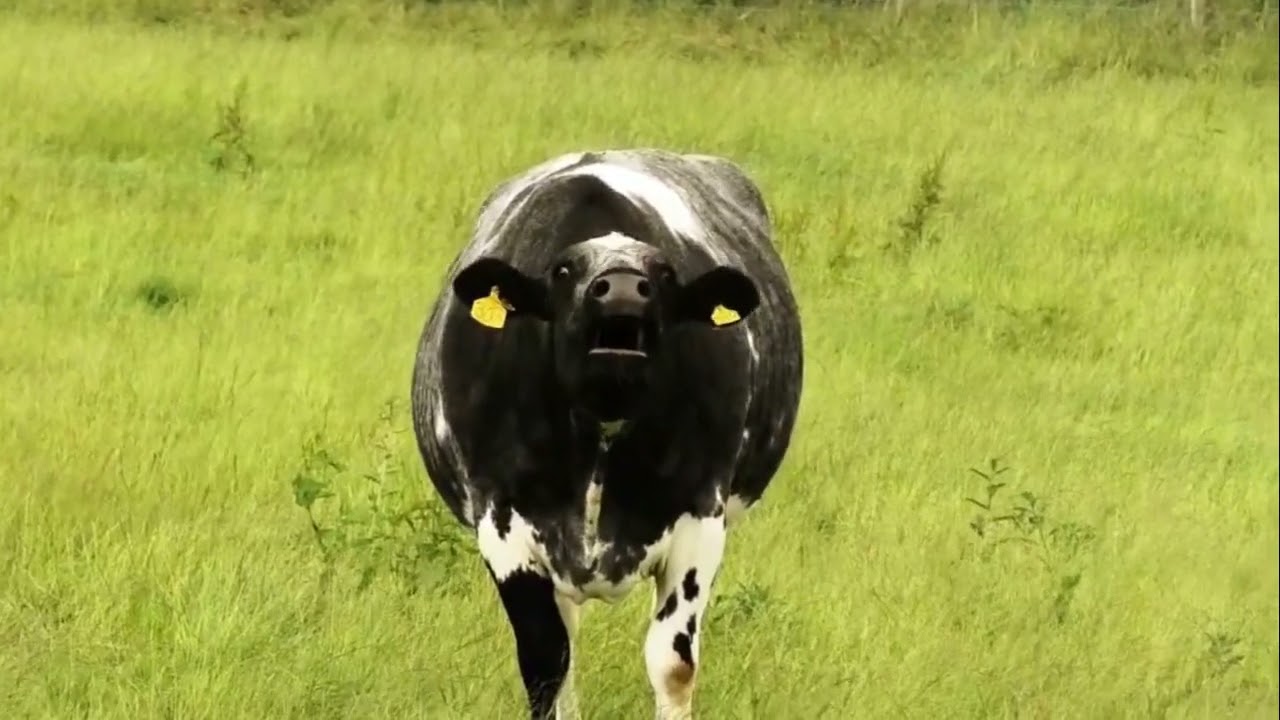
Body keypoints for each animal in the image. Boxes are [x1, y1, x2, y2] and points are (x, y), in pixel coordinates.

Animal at [410, 148, 804, 720]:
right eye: (563, 270)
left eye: (663, 272)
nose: (621, 287)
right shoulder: (501, 521)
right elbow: (546, 659)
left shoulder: (701, 517)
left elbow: (672, 663)